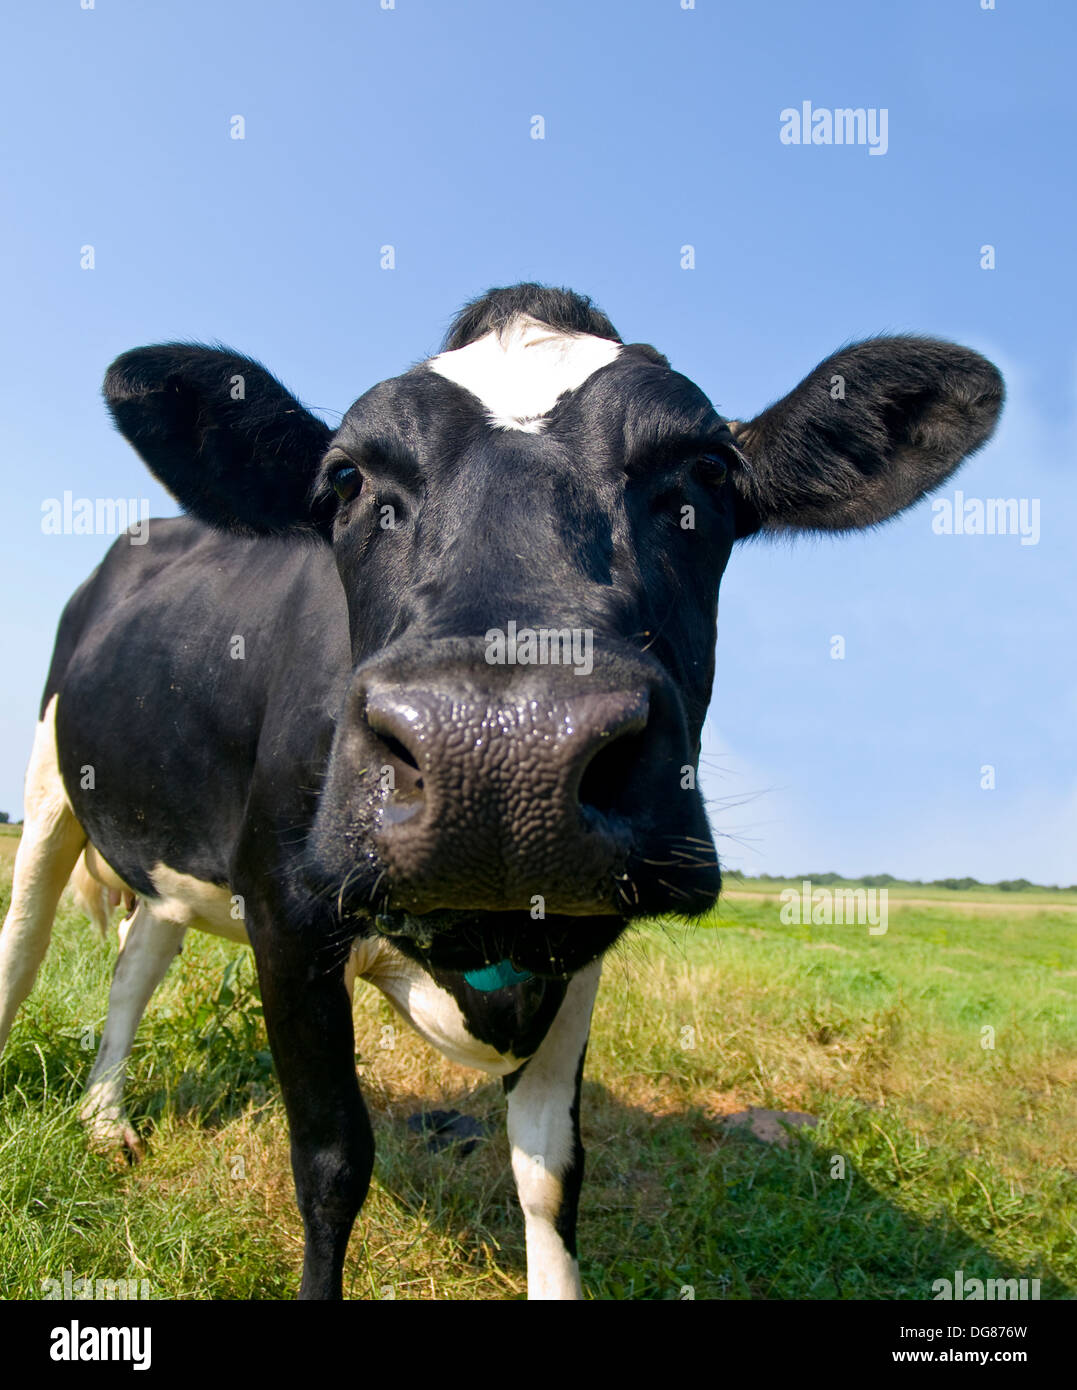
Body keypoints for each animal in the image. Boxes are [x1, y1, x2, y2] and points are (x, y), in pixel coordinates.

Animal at [0, 284, 1003, 1299]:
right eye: (347, 481)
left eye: (708, 471)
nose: (502, 751)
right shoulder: (288, 911)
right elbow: (330, 1161)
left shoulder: (580, 948)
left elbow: (550, 1168)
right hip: (47, 791)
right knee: (25, 947)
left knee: (136, 958)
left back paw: (104, 1118)